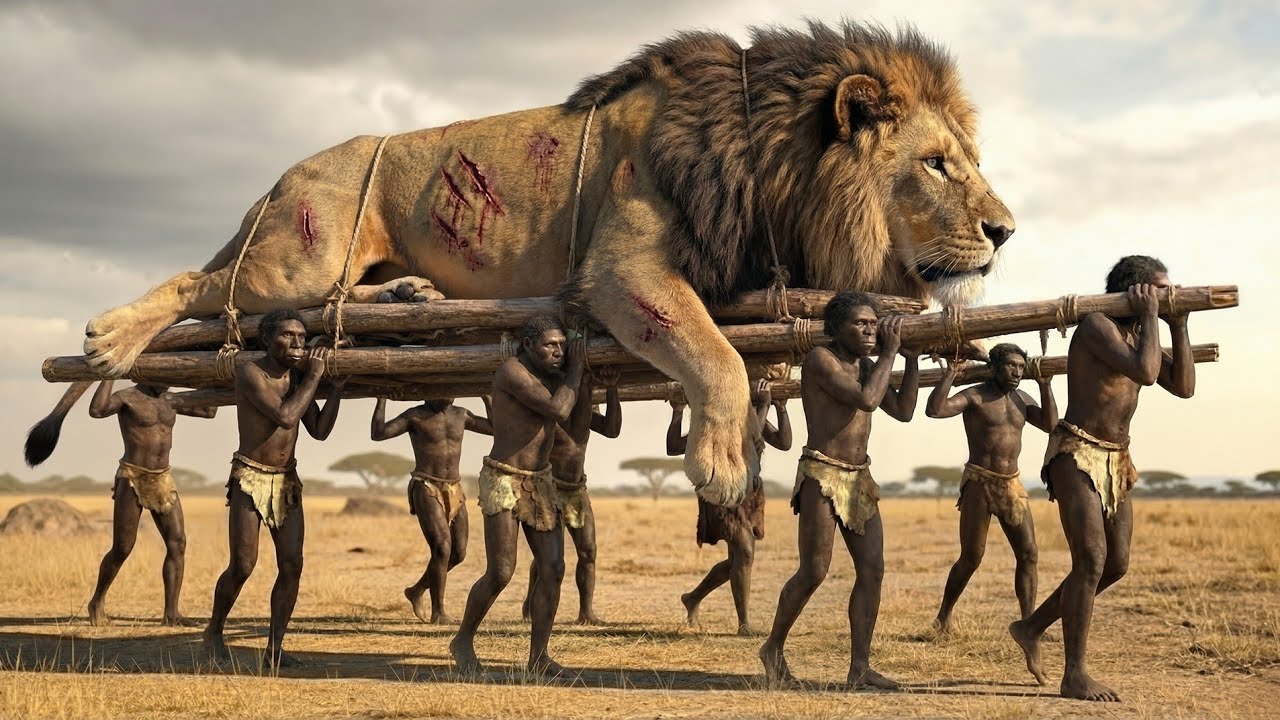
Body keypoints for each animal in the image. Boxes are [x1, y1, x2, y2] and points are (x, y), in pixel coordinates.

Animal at [44, 21, 1014, 506]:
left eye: (965, 157)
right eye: (937, 164)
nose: (1005, 231)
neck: (774, 166)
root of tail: (285, 175)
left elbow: (747, 362)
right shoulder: (622, 271)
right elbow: (718, 358)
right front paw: (719, 467)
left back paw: (411, 289)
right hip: (298, 260)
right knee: (198, 284)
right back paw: (109, 339)